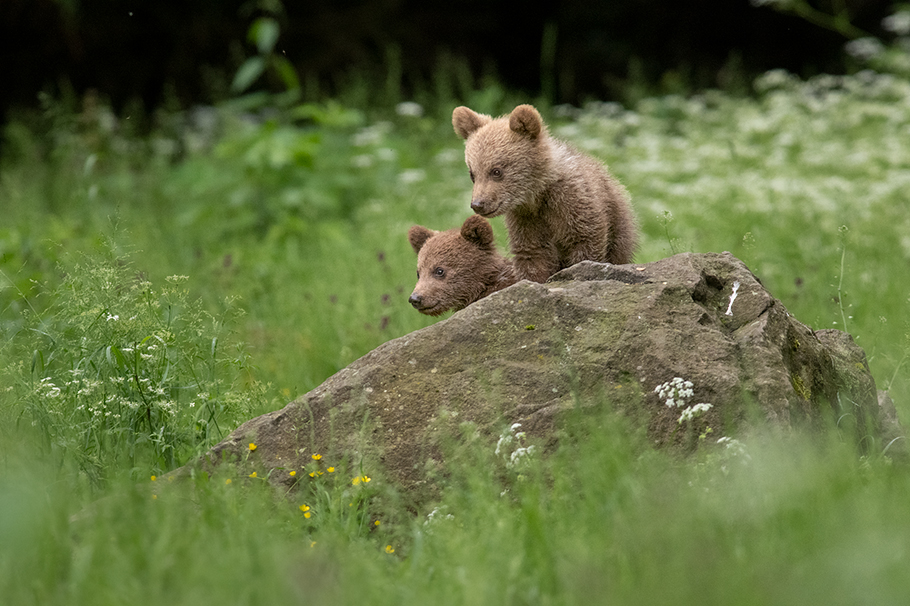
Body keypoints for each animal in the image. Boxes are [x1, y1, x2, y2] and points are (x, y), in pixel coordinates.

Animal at [452, 103, 638, 283]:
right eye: (472, 173)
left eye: (496, 171)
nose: (478, 204)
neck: (537, 196)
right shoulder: (526, 221)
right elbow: (532, 258)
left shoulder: (572, 205)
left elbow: (584, 245)